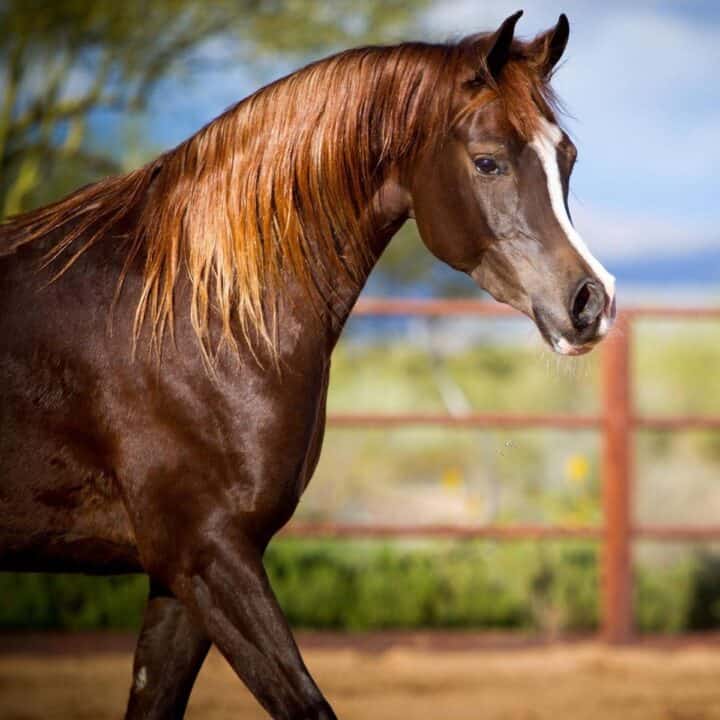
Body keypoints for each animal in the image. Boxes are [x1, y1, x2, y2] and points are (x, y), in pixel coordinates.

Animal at [0, 11, 615, 719]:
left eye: (567, 157)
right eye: (488, 160)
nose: (592, 301)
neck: (195, 313)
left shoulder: (180, 575)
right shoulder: (207, 553)